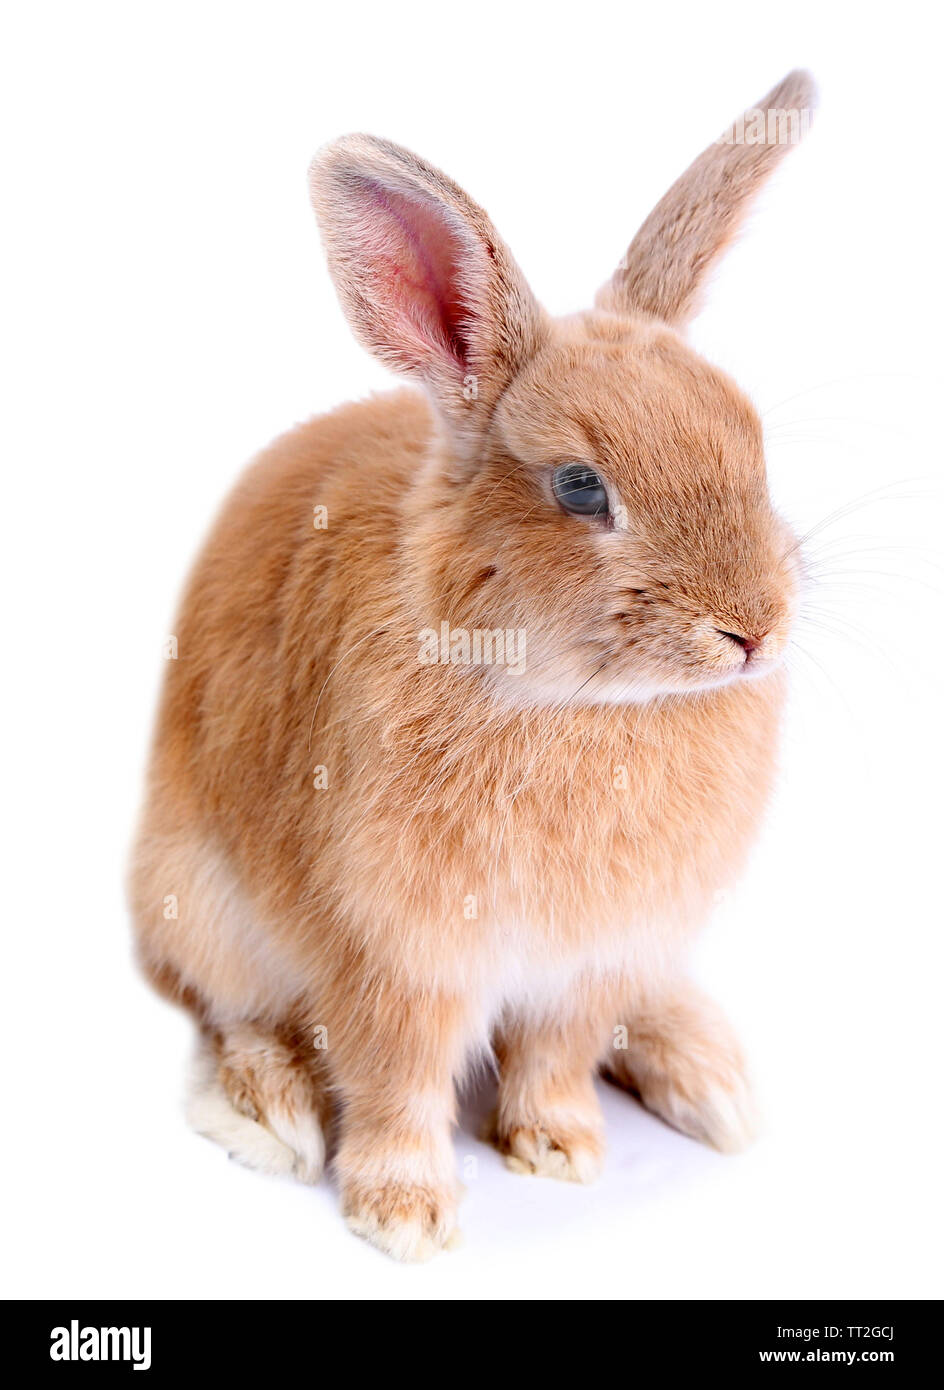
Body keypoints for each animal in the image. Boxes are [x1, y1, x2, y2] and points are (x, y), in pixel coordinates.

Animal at [129, 70, 816, 1260]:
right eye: (582, 487)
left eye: (752, 447)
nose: (753, 630)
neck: (574, 697)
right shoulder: (392, 953)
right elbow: (396, 1077)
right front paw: (404, 1215)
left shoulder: (589, 961)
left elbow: (558, 1053)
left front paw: (559, 1150)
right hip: (199, 901)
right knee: (231, 1012)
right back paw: (273, 1108)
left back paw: (708, 1076)